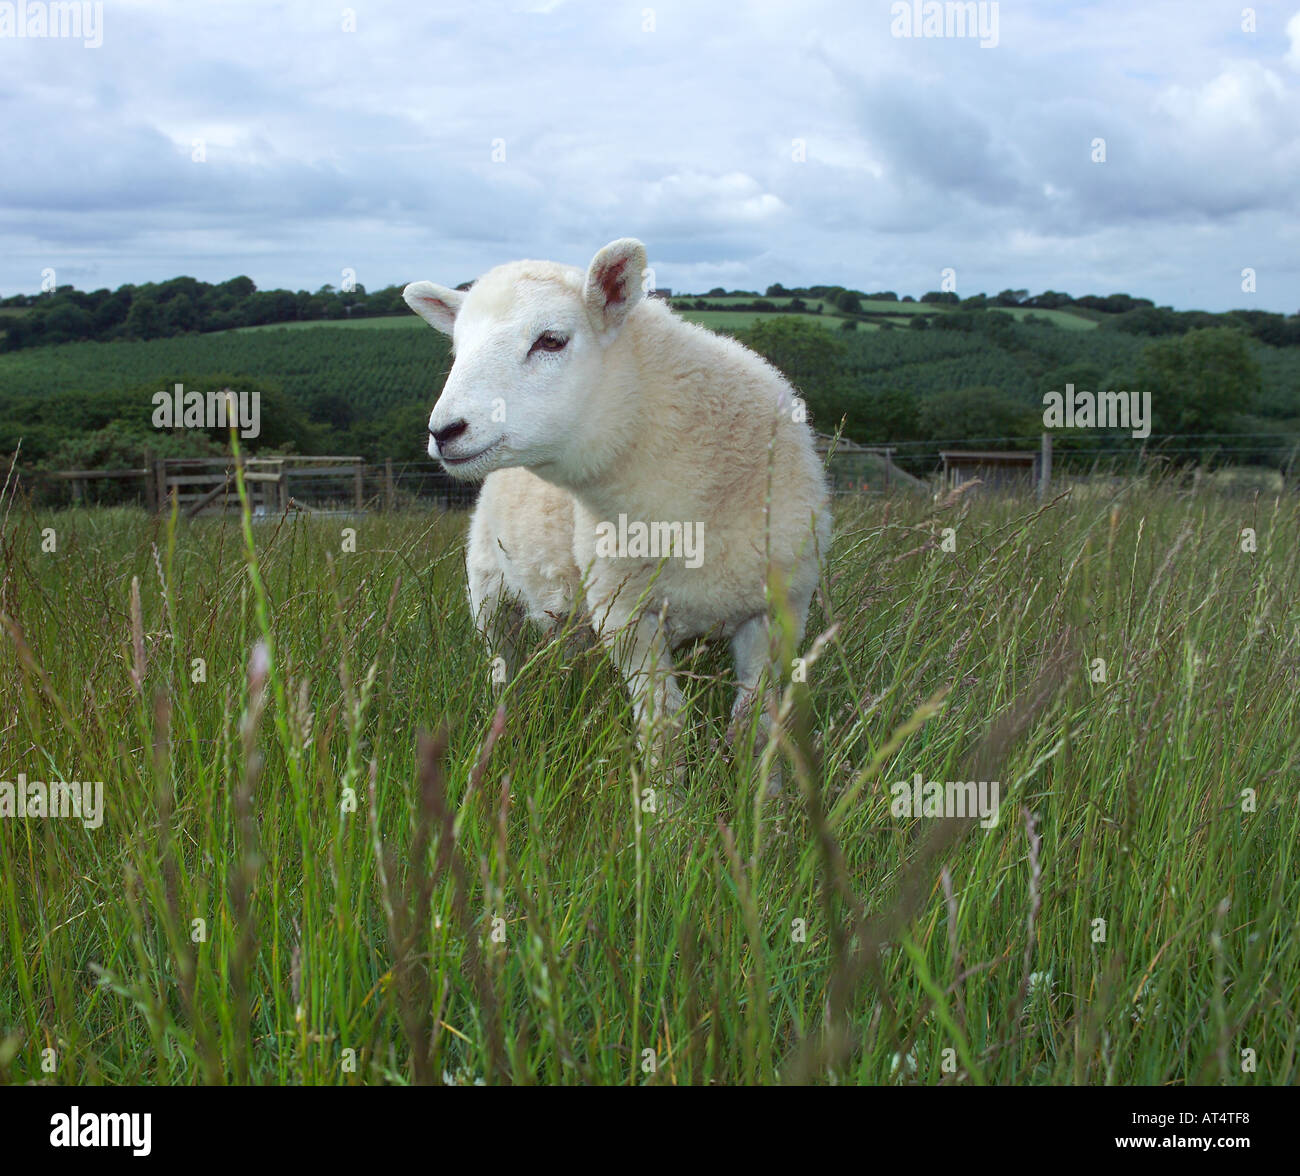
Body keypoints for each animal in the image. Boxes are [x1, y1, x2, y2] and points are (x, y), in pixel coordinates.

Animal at [403, 238, 829, 783]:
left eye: (551, 340)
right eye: (458, 351)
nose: (444, 431)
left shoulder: (779, 607)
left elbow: (755, 726)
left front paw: (765, 799)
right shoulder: (626, 616)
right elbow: (665, 727)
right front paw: (665, 804)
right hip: (489, 592)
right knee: (502, 666)